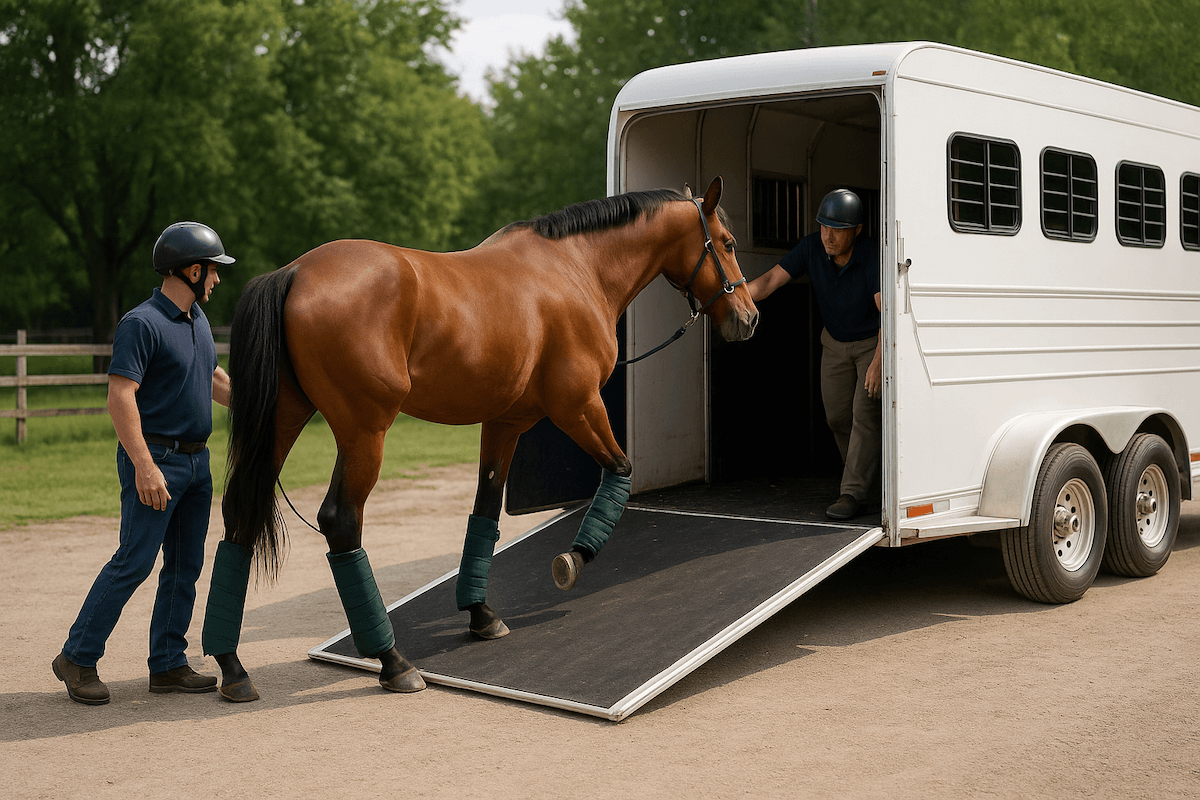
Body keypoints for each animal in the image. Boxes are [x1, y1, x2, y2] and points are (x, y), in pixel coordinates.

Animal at [201, 177, 759, 702]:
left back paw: (232, 667)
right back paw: (392, 661)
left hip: (285, 422)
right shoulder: (578, 406)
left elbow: (485, 511)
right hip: (364, 432)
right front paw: (574, 559)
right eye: (728, 243)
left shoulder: (505, 424)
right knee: (341, 521)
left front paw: (480, 614)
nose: (748, 317)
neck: (575, 268)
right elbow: (618, 473)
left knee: (239, 511)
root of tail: (294, 273)